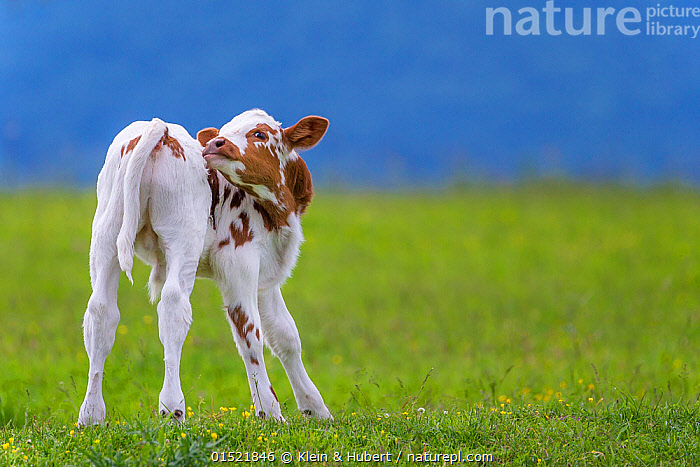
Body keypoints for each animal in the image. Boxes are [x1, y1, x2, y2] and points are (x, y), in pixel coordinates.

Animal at [78, 109, 331, 425]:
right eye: (222, 132)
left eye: (259, 134)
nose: (216, 143)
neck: (279, 214)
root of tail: (161, 129)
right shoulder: (239, 262)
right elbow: (250, 335)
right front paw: (271, 413)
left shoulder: (265, 276)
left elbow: (286, 335)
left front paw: (315, 409)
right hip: (182, 238)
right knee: (173, 306)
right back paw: (172, 407)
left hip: (106, 232)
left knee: (101, 312)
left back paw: (91, 414)